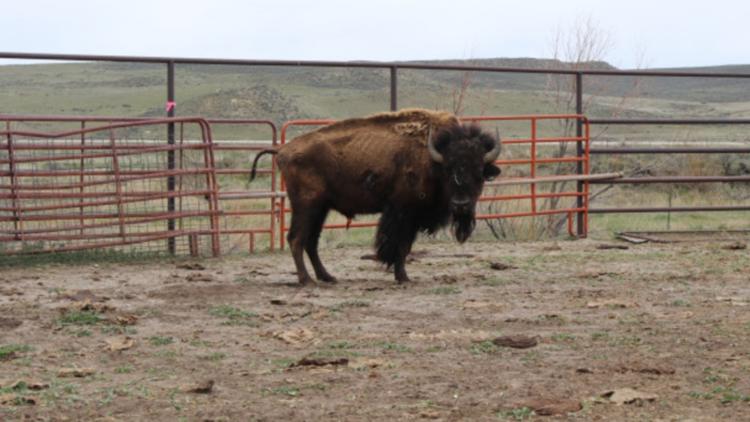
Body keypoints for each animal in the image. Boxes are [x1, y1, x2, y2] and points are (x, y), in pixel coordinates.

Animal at [250, 109, 501, 284]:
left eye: (480, 172)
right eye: (449, 170)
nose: (461, 204)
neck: (433, 158)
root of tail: (283, 150)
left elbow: (405, 246)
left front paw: (401, 275)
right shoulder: (403, 212)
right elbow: (400, 246)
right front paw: (403, 277)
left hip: (321, 208)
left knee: (311, 241)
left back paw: (328, 277)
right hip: (306, 206)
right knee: (296, 238)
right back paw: (307, 280)